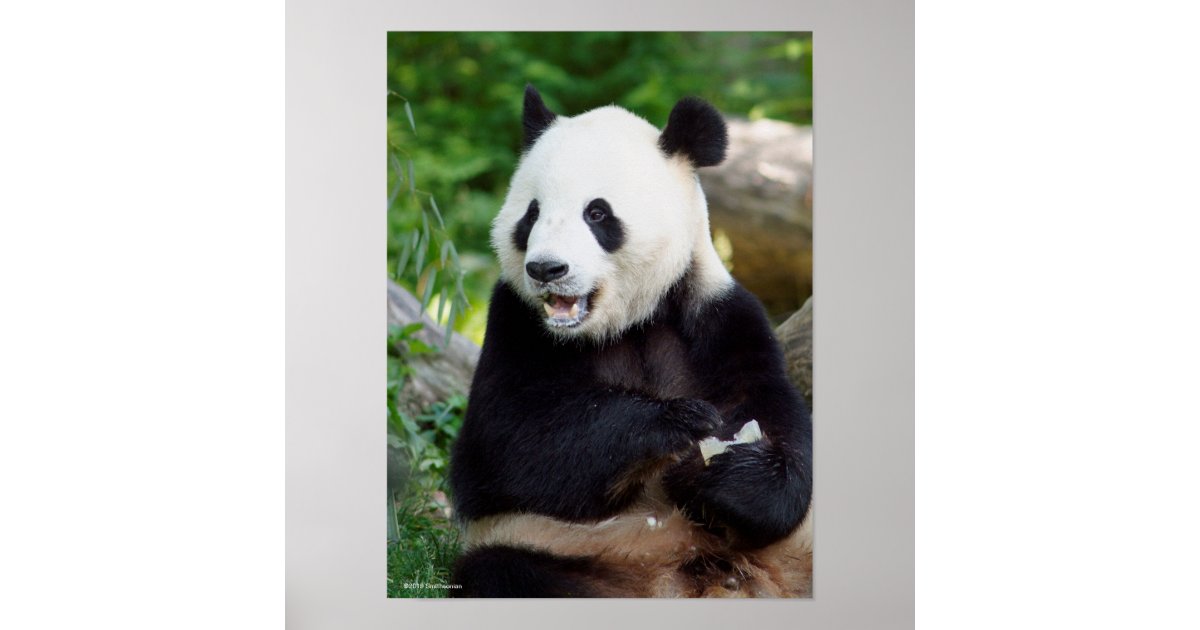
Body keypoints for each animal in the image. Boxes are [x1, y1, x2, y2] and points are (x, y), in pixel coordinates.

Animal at [448, 85, 813, 598]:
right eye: (531, 214)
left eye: (597, 213)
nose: (545, 269)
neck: (627, 321)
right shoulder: (514, 323)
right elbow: (508, 444)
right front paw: (678, 422)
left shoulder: (719, 315)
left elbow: (775, 417)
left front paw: (724, 477)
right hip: (558, 547)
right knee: (502, 570)